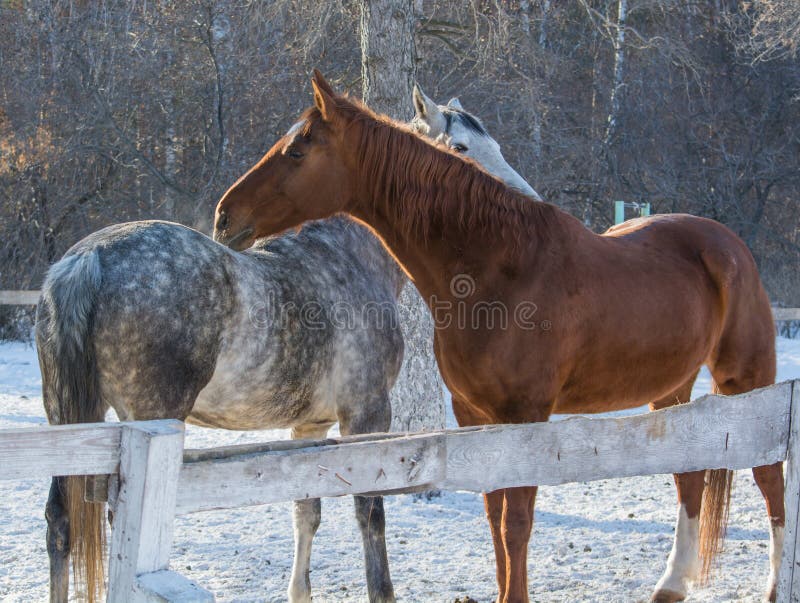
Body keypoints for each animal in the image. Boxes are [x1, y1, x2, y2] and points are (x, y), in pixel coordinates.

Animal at [213, 71, 784, 603]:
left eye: (297, 149)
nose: (223, 216)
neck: (500, 268)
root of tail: (726, 242)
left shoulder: (526, 417)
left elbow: (516, 525)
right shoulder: (475, 416)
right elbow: (493, 517)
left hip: (750, 383)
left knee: (770, 478)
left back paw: (776, 584)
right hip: (671, 391)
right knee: (690, 476)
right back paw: (671, 583)